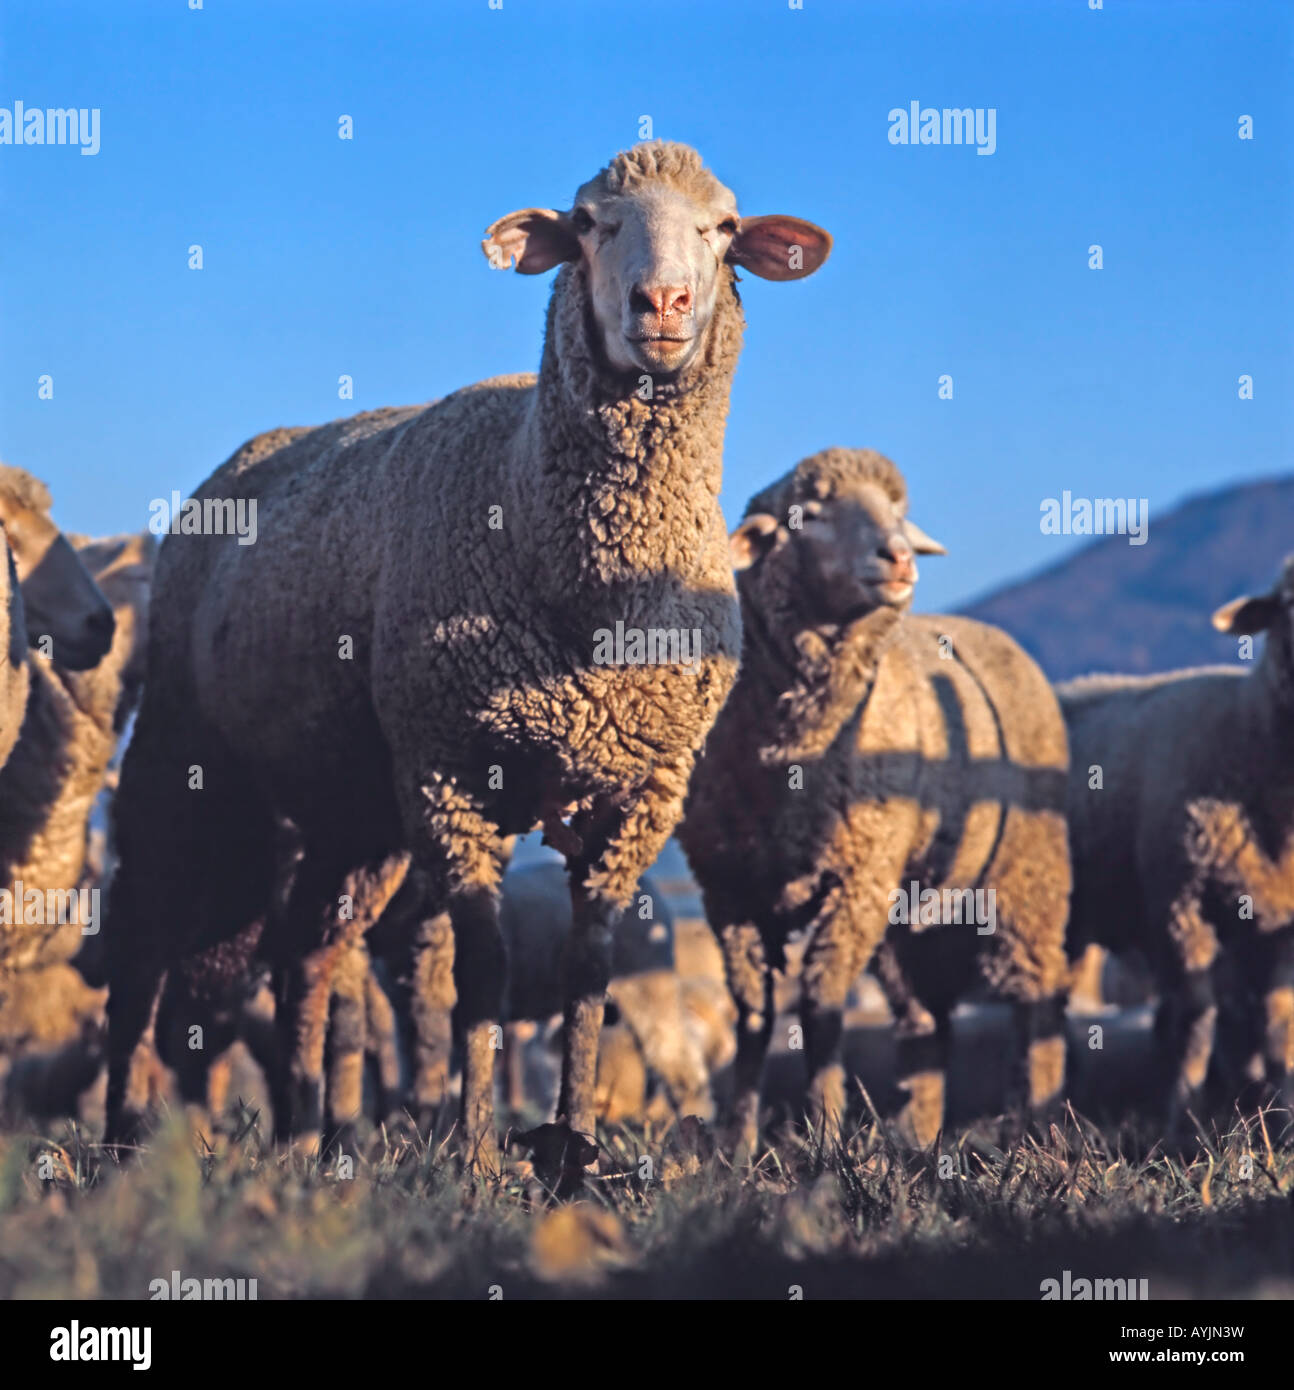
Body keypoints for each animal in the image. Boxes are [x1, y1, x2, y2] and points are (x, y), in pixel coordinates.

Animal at [103, 141, 832, 1171]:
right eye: (590, 220)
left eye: (723, 226)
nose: (662, 303)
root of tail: (241, 458)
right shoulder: (450, 770)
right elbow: (481, 970)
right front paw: (480, 1152)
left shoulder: (641, 793)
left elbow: (587, 970)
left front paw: (572, 1145)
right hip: (185, 750)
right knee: (141, 941)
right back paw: (124, 1134)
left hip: (349, 805)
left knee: (304, 954)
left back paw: (302, 1135)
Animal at [678, 448, 1071, 1150]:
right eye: (812, 513)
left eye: (897, 512)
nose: (899, 556)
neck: (787, 751)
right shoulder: (726, 887)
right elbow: (753, 1015)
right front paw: (737, 1143)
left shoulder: (856, 877)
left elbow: (822, 1004)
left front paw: (824, 1133)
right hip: (910, 916)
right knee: (922, 1020)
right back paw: (916, 1135)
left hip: (1027, 872)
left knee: (1038, 994)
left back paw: (1037, 1125)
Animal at [1057, 556, 1294, 1124]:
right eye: (1289, 603)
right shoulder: (1181, 903)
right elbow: (1196, 1020)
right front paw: (1182, 1115)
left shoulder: (1279, 919)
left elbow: (1278, 1020)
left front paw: (1280, 1108)